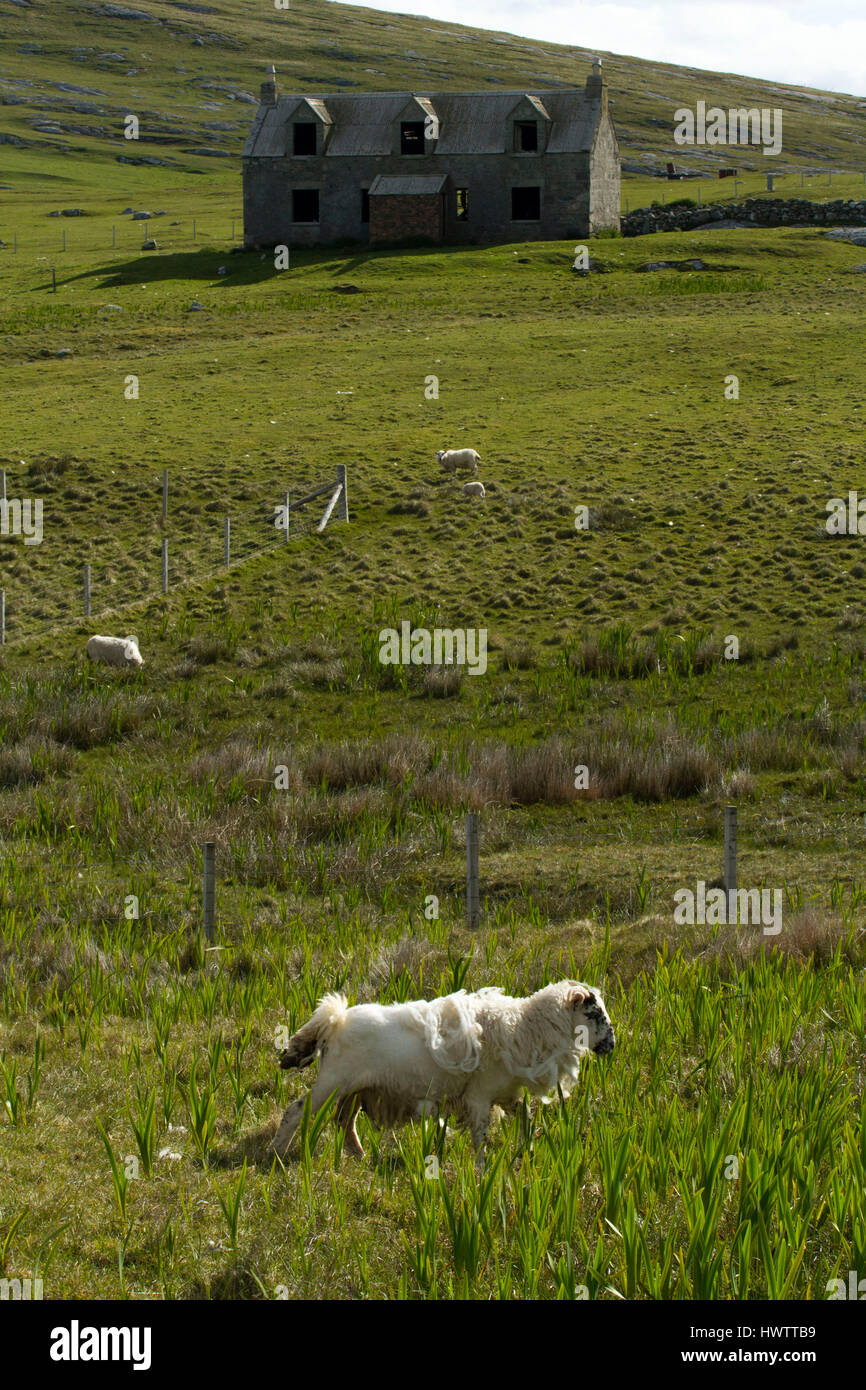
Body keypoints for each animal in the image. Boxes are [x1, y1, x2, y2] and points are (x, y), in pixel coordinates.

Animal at [269, 980, 614, 1163]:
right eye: (594, 1012)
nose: (611, 1045)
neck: (523, 1027)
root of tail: (334, 1020)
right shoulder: (478, 1097)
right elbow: (481, 1134)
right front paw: (482, 1171)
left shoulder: (506, 1094)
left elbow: (525, 1119)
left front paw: (526, 1152)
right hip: (332, 1082)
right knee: (296, 1110)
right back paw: (275, 1152)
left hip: (355, 1089)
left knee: (344, 1121)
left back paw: (361, 1157)